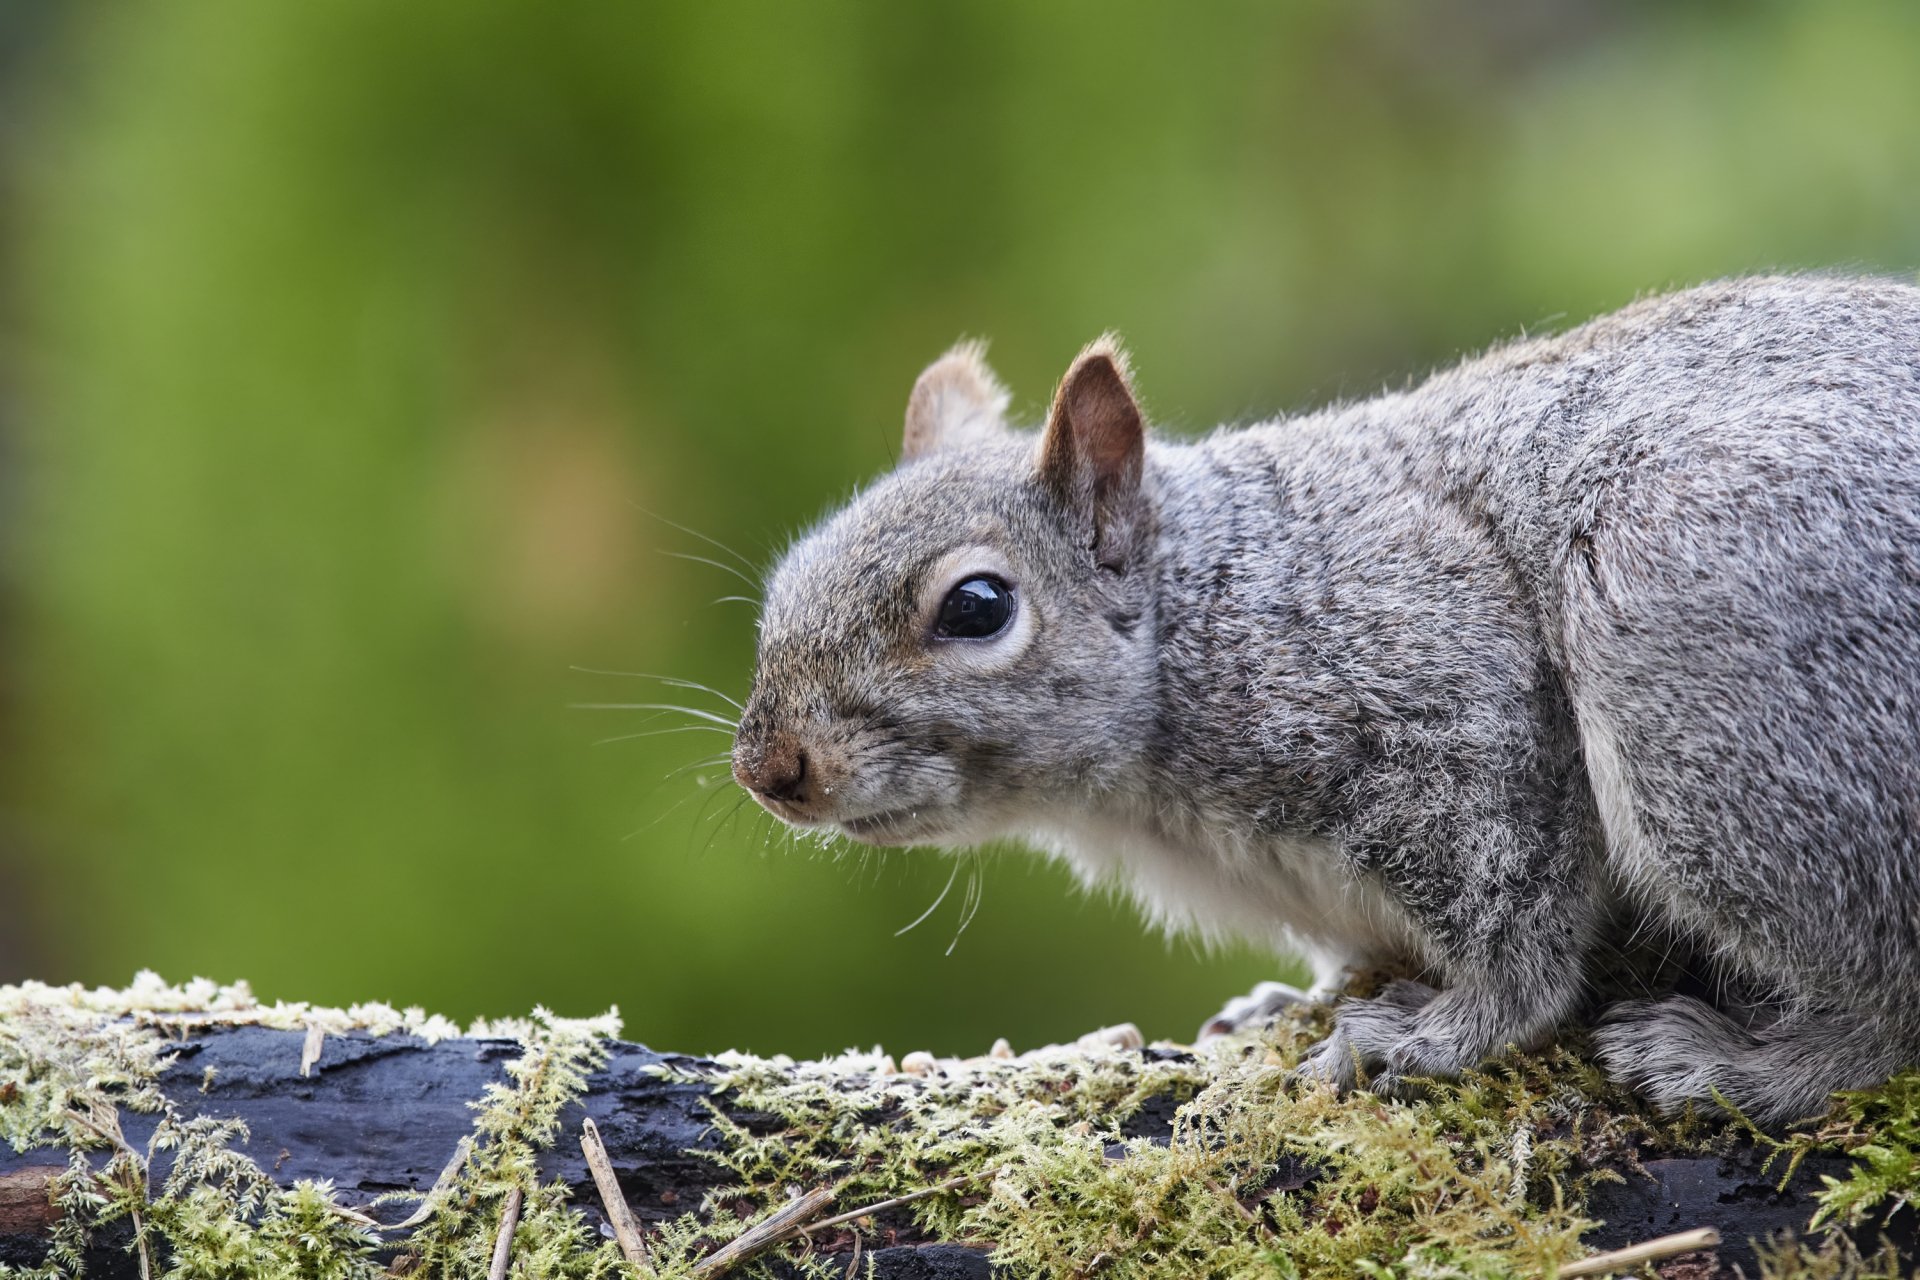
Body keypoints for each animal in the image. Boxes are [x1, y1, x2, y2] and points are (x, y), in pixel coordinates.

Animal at [730, 275, 1920, 1123]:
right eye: (785, 583)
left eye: (977, 607)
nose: (770, 769)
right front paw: (1285, 1000)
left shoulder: (1443, 689)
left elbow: (1520, 938)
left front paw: (1439, 1032)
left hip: (1701, 676)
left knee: (1884, 990)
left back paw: (1741, 1066)